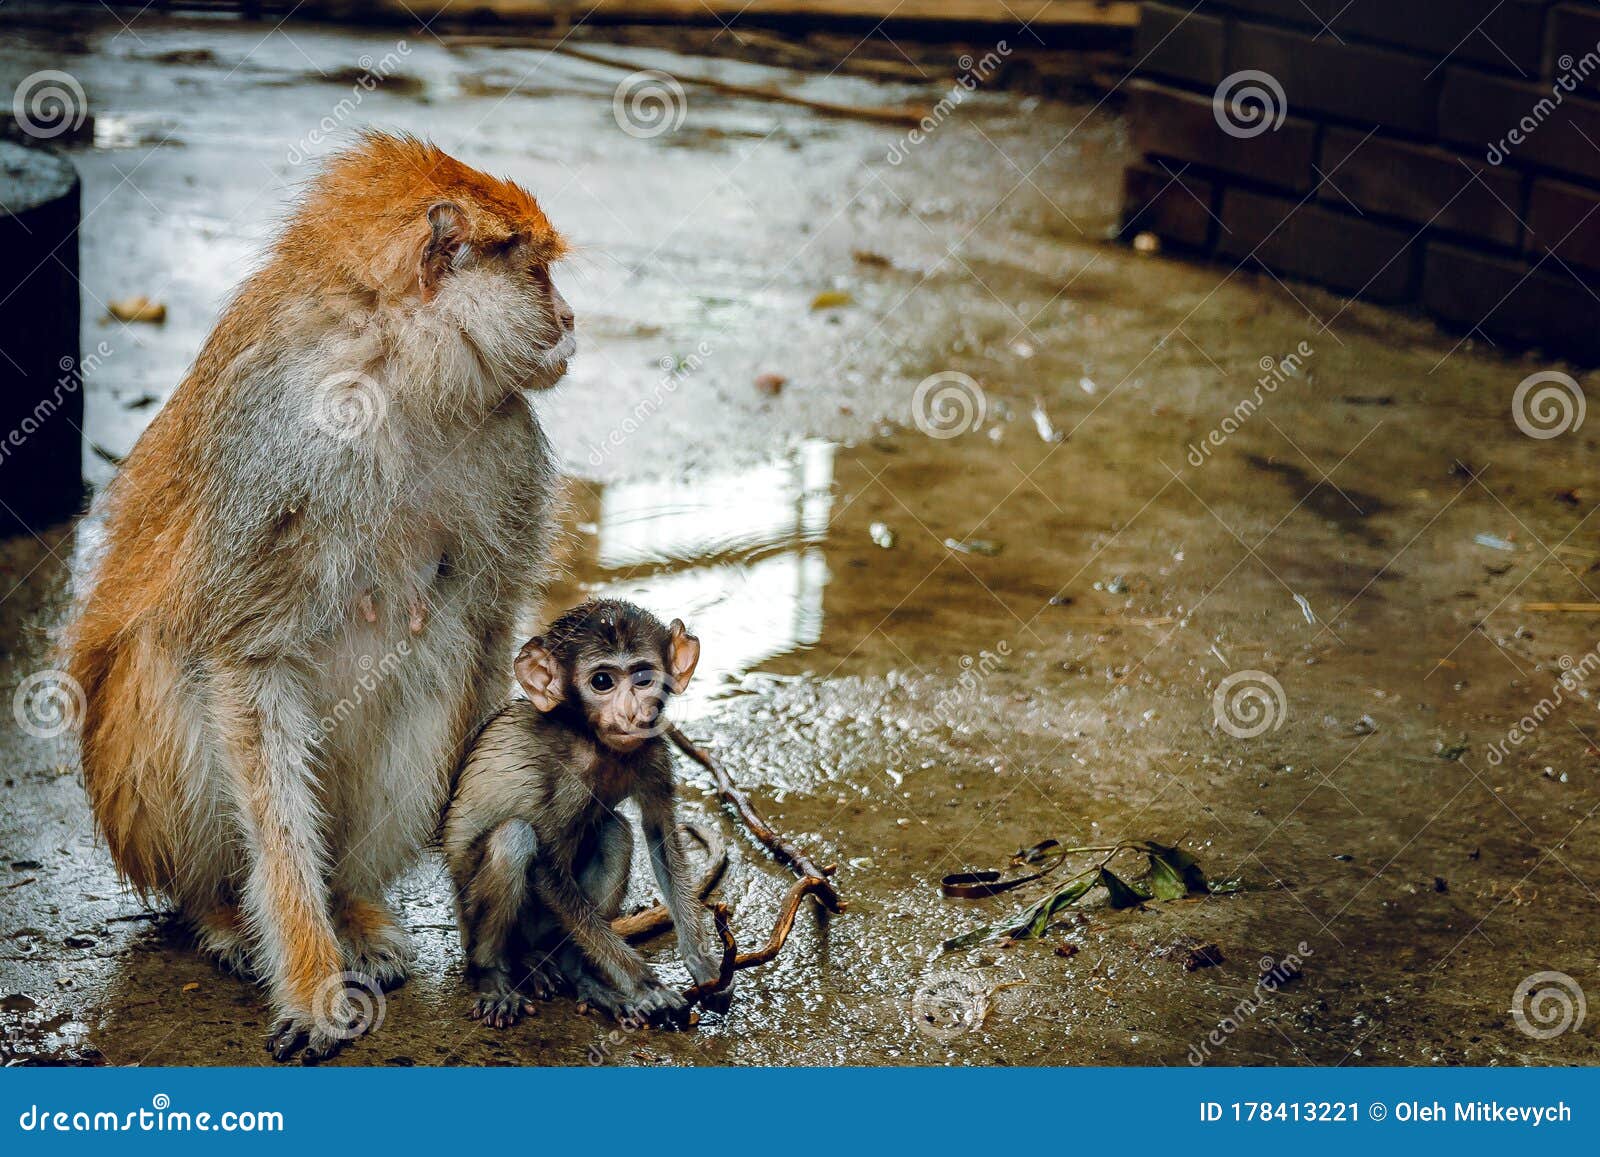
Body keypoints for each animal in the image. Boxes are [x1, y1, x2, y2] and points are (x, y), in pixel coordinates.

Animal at [63, 132, 576, 1061]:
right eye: (538, 274)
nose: (571, 322)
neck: (400, 367)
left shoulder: (507, 442)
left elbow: (485, 628)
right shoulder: (283, 442)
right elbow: (247, 659)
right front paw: (309, 978)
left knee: (437, 656)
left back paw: (353, 905)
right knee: (168, 660)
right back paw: (222, 910)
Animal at [442, 599, 726, 1029]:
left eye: (643, 678)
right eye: (602, 682)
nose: (629, 712)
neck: (593, 740)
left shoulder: (653, 750)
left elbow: (660, 835)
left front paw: (702, 962)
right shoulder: (566, 780)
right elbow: (549, 873)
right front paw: (648, 985)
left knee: (616, 831)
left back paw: (580, 976)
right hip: (480, 924)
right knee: (514, 837)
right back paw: (497, 974)